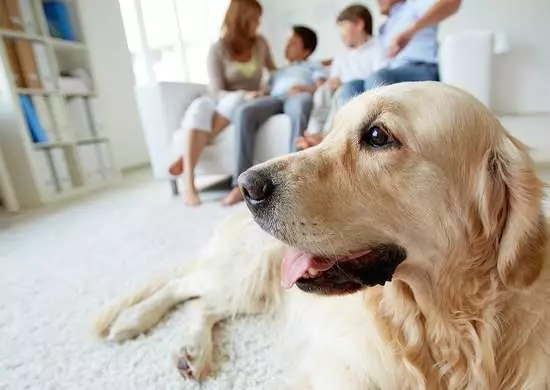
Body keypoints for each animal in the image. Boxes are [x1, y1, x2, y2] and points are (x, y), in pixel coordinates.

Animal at [94, 80, 550, 388]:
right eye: (330, 132)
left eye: (377, 135)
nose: (246, 186)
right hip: (246, 273)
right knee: (185, 287)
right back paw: (135, 321)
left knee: (203, 303)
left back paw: (190, 350)